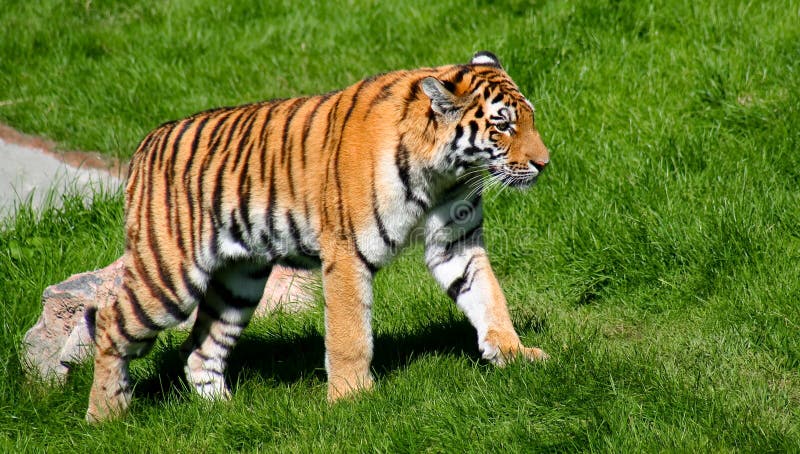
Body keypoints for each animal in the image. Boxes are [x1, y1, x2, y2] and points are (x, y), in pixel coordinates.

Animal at [85, 51, 550, 423]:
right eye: (503, 126)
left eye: (529, 119)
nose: (544, 163)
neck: (442, 172)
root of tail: (146, 143)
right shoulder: (347, 251)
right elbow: (350, 332)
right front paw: (351, 398)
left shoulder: (456, 242)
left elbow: (488, 296)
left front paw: (514, 355)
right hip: (170, 277)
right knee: (110, 322)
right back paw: (106, 415)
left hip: (240, 282)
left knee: (201, 350)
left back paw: (224, 412)